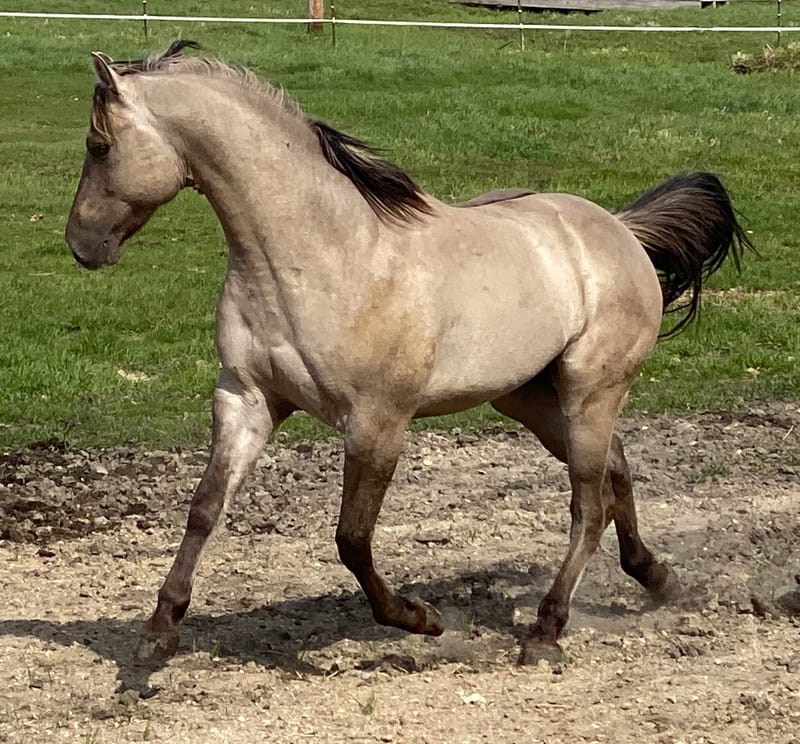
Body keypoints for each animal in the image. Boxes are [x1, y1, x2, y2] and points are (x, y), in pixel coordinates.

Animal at [65, 41, 752, 666]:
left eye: (99, 146)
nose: (79, 245)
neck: (322, 256)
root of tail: (620, 228)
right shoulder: (246, 398)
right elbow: (205, 508)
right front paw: (159, 632)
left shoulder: (378, 424)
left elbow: (351, 538)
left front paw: (420, 619)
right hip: (531, 399)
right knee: (617, 473)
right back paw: (656, 579)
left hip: (591, 391)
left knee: (588, 504)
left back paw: (546, 631)